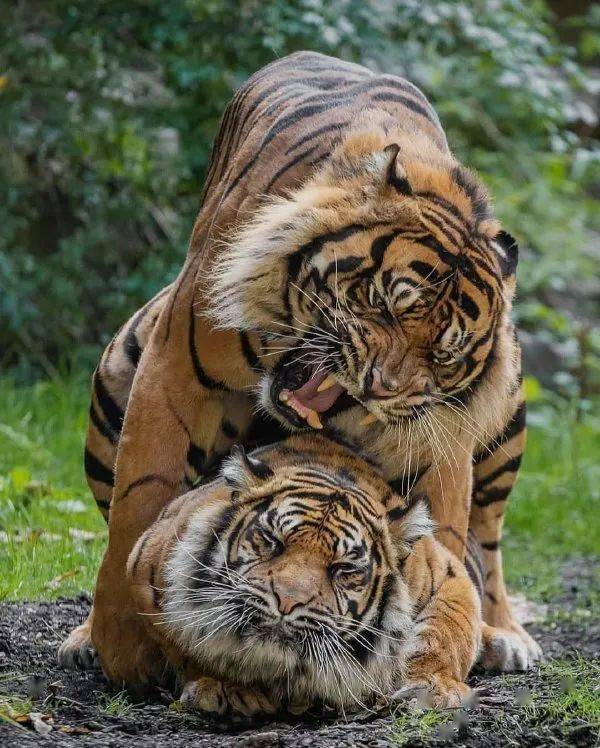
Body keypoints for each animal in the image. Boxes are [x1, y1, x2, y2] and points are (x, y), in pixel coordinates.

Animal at [58, 51, 541, 683]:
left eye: (444, 354)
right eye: (386, 303)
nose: (383, 388)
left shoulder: (441, 432)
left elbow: (451, 535)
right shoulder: (171, 371)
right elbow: (137, 504)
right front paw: (121, 640)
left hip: (507, 417)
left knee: (488, 537)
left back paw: (503, 635)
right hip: (117, 376)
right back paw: (83, 639)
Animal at [125, 433, 482, 715]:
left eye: (343, 568)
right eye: (272, 540)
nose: (287, 600)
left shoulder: (448, 573)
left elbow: (447, 633)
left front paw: (435, 688)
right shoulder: (147, 565)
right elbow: (187, 640)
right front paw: (226, 688)